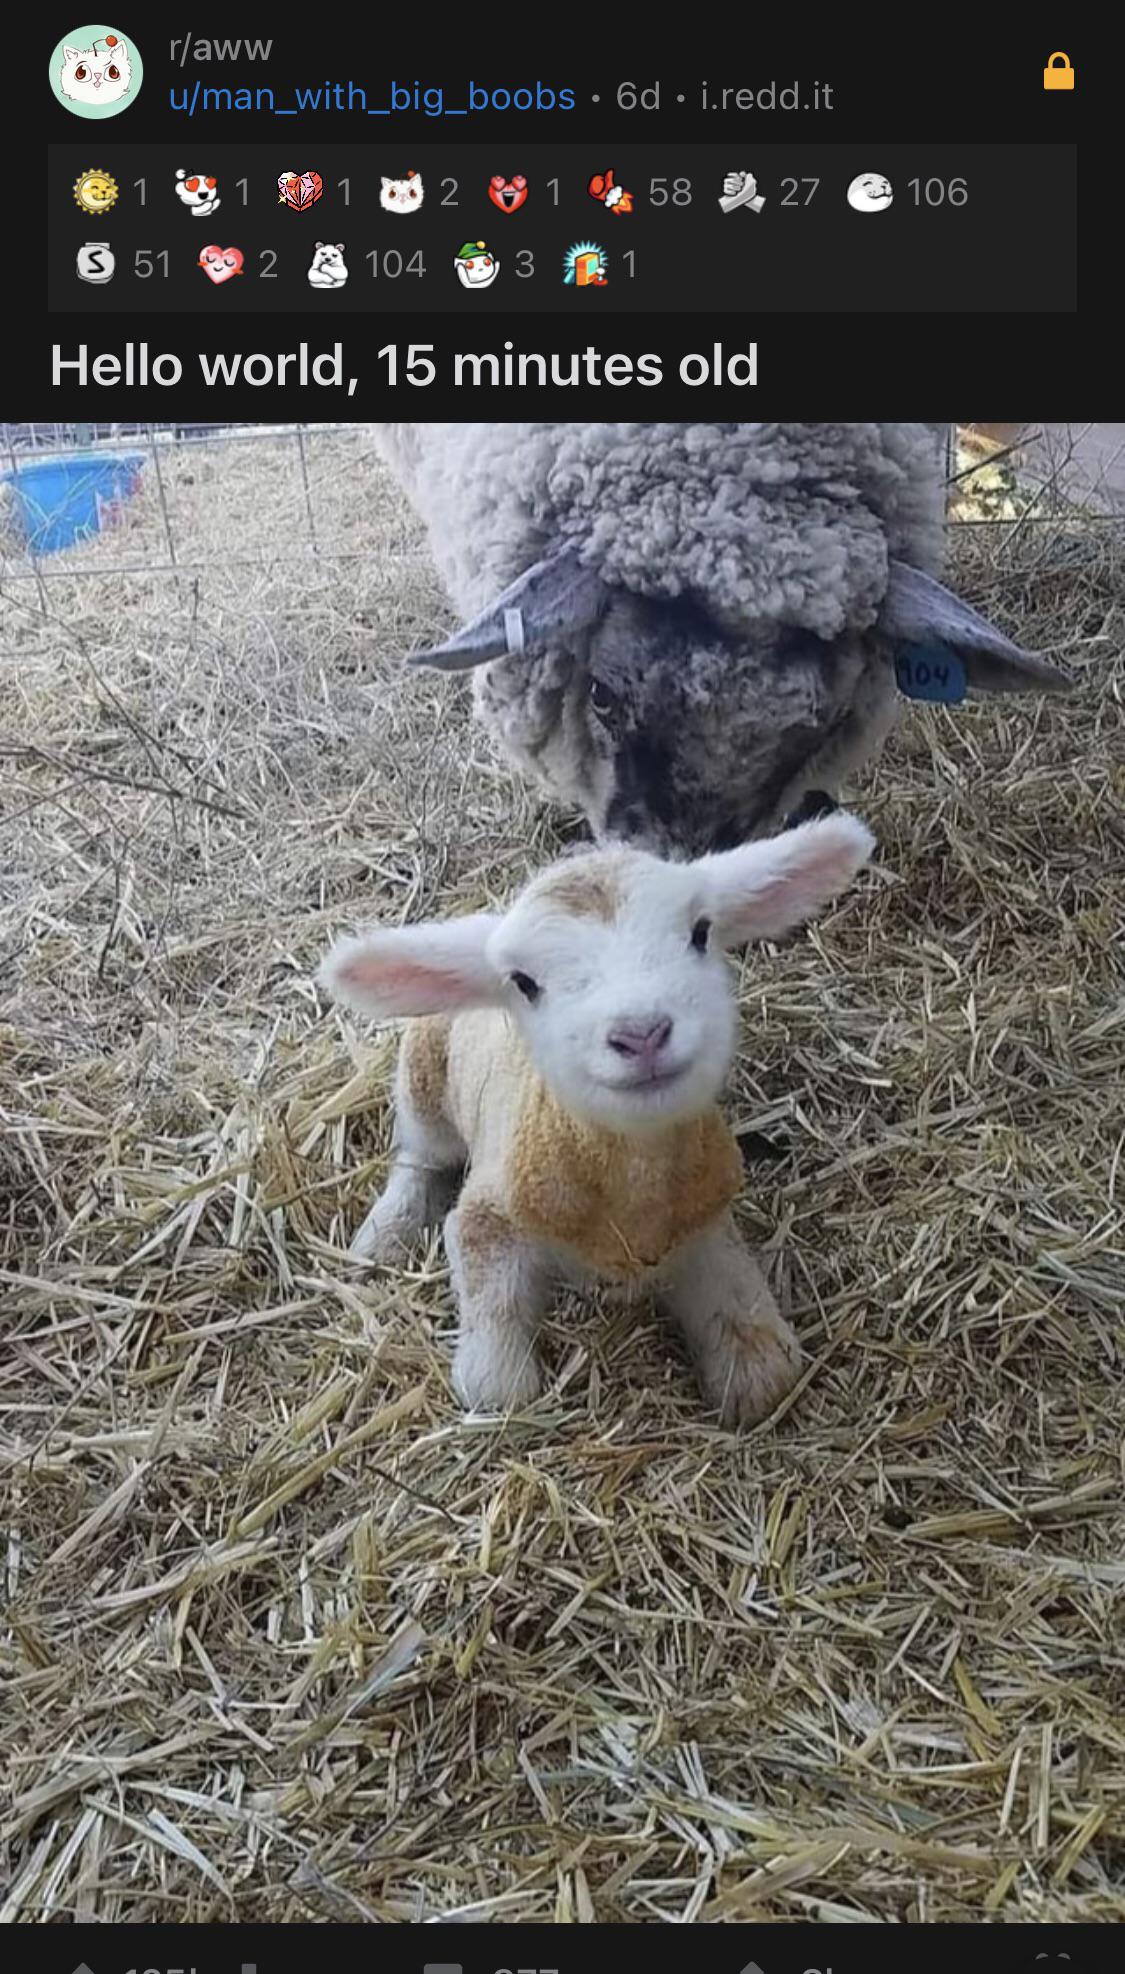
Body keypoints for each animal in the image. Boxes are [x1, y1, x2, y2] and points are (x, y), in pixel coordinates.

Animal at [318, 810, 874, 1426]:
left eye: (701, 932)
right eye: (524, 982)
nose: (642, 1033)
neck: (631, 1195)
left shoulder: (703, 1219)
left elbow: (763, 1359)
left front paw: (749, 1371)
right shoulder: (489, 1217)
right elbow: (497, 1385)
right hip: (424, 1076)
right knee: (419, 1156)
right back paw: (385, 1234)